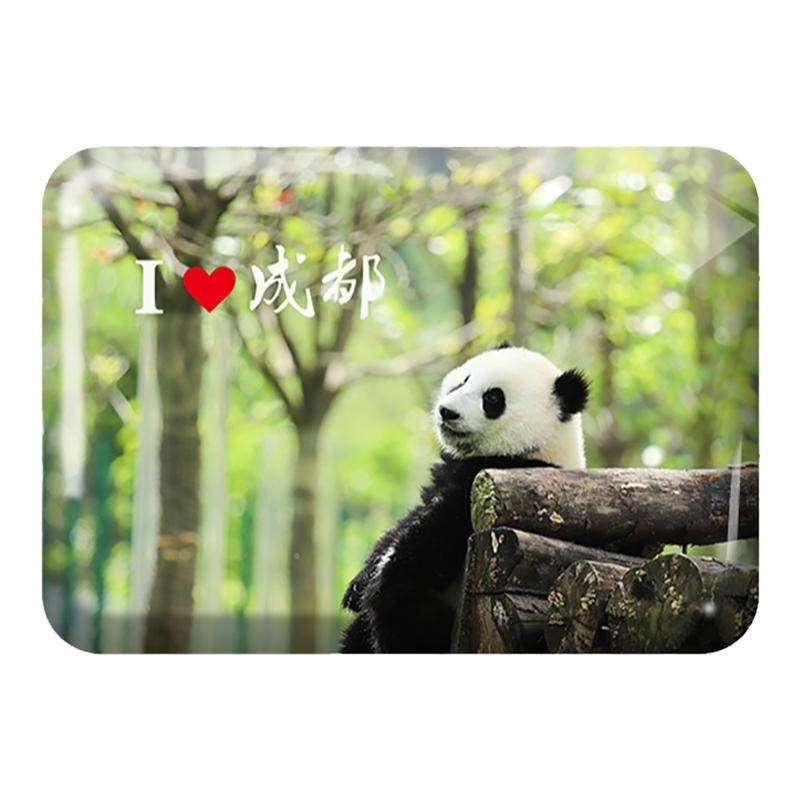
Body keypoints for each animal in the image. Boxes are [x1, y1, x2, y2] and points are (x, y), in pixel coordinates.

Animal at [339, 343, 590, 653]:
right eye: (464, 380)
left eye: (493, 398)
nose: (447, 411)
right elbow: (404, 524)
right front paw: (359, 584)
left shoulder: (500, 480)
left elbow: (437, 533)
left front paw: (381, 584)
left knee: (407, 626)